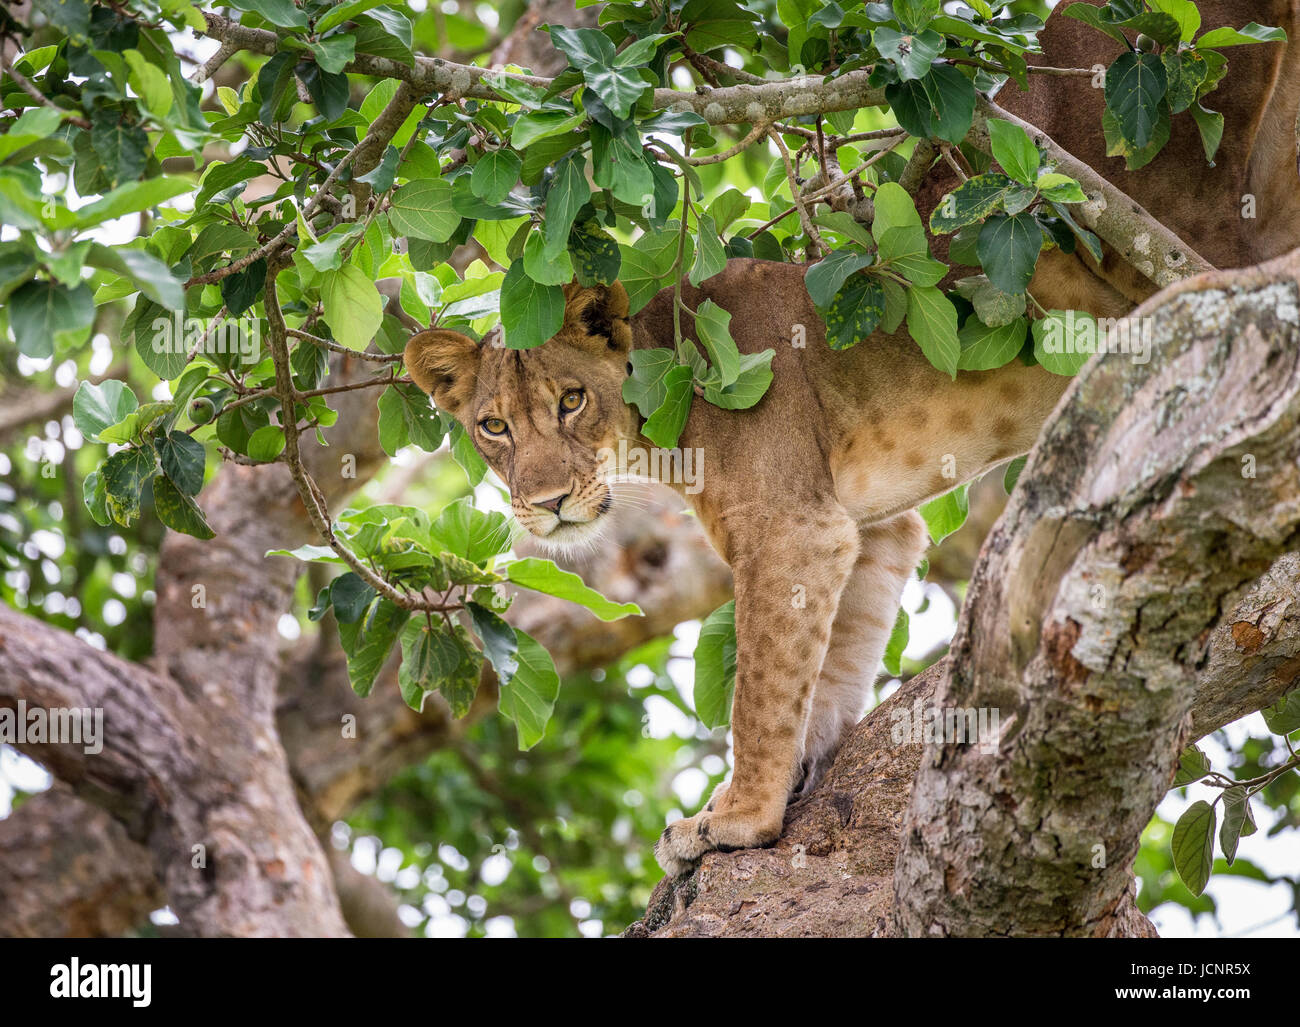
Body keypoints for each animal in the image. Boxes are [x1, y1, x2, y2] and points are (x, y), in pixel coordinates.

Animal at [405, 1, 1300, 878]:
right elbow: (829, 660)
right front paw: (801, 767)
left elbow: (761, 688)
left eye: (571, 401)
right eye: (493, 425)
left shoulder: (789, 529)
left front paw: (736, 818)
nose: (549, 503)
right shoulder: (865, 527)